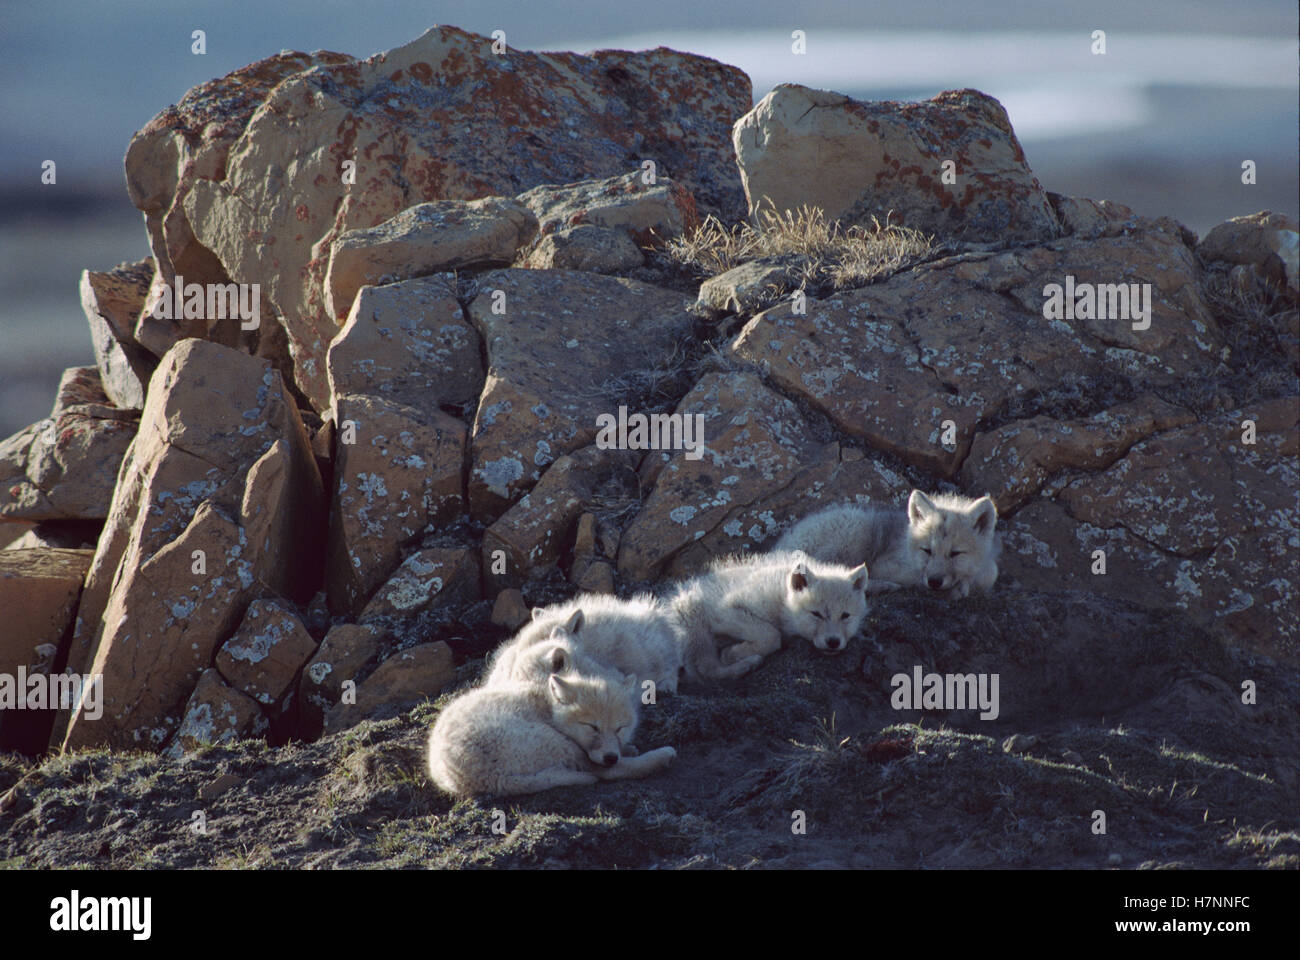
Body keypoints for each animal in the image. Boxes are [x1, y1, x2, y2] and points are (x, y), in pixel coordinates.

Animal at [427, 645, 677, 797]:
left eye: (620, 728)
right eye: (592, 727)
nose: (610, 757)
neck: (546, 702)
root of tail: (488, 780)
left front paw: (627, 747)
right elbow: (608, 769)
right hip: (559, 744)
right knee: (604, 773)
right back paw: (660, 757)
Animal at [666, 550, 869, 680]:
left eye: (845, 615)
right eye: (816, 614)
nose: (833, 642)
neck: (782, 601)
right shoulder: (725, 610)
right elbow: (771, 635)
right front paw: (732, 653)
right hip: (694, 621)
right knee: (707, 669)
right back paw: (746, 664)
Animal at [774, 490, 1000, 599]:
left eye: (956, 553)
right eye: (927, 550)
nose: (935, 582)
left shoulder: (988, 569)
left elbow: (989, 575)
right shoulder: (889, 566)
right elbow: (916, 578)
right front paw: (959, 587)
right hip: (857, 527)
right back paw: (883, 587)